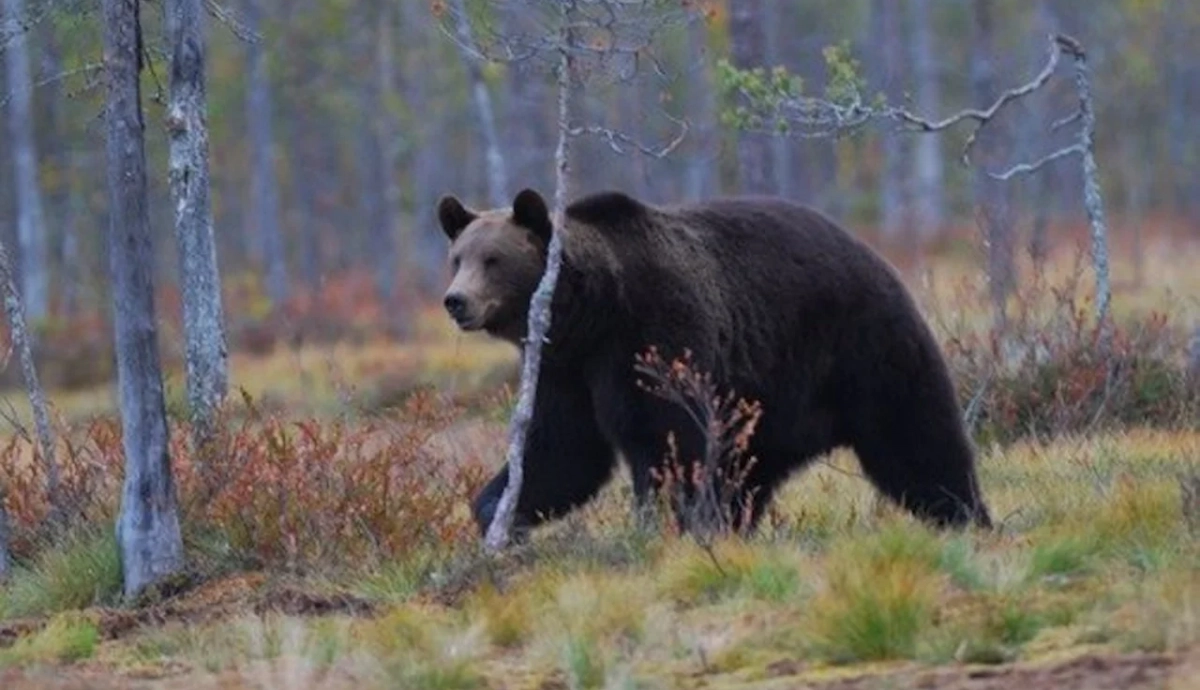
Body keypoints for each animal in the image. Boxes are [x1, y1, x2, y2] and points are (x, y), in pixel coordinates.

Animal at [437, 187, 993, 540]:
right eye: (458, 257)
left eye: (493, 260)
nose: (455, 301)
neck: (589, 313)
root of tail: (874, 253)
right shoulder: (564, 371)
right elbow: (559, 450)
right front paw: (497, 512)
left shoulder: (653, 335)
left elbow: (667, 437)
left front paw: (665, 524)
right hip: (770, 399)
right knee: (745, 476)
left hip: (861, 347)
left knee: (916, 436)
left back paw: (966, 514)